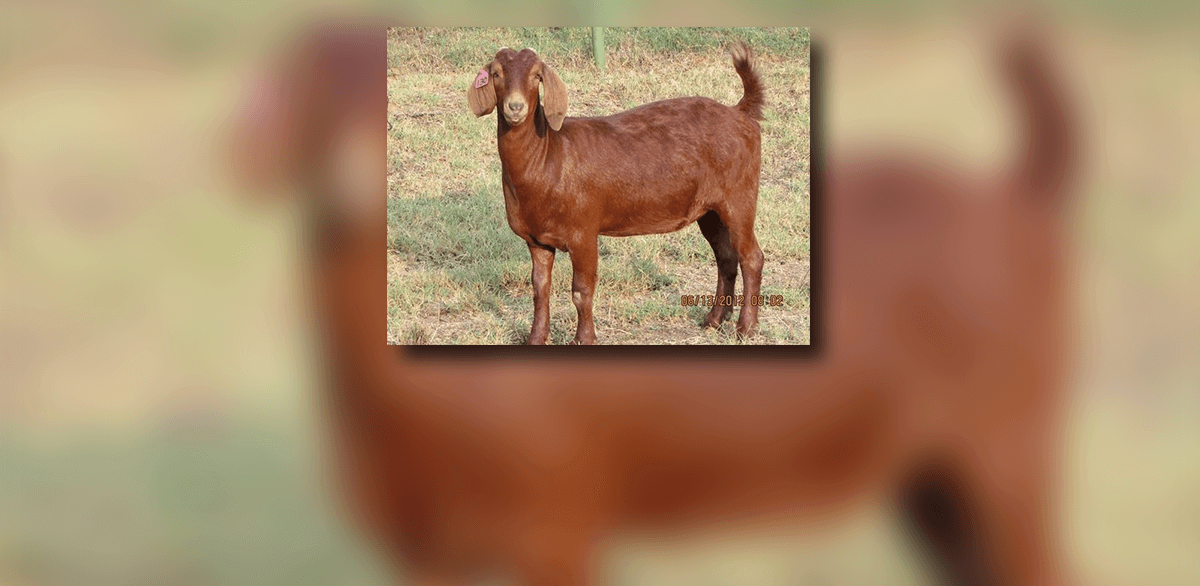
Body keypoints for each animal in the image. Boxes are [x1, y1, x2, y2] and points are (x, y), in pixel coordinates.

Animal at [466, 45, 766, 344]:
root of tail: (740, 112)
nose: (515, 107)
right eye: (496, 73)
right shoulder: (537, 239)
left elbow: (581, 290)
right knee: (726, 257)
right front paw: (536, 338)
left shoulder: (583, 232)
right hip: (710, 211)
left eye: (536, 76)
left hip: (739, 197)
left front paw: (584, 339)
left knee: (751, 257)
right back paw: (714, 319)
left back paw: (745, 328)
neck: (549, 155)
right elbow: (540, 289)